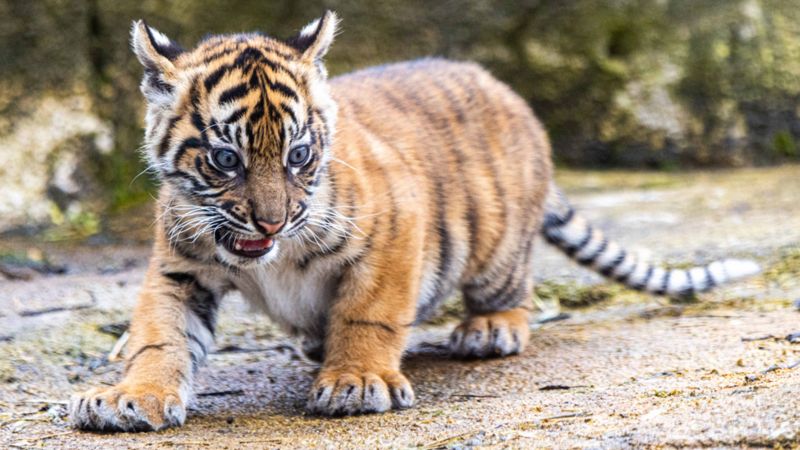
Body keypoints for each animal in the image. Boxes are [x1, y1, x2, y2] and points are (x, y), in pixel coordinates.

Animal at [69, 11, 760, 431]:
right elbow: (160, 337)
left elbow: (367, 313)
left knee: (515, 290)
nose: (271, 221)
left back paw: (489, 330)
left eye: (299, 155)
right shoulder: (179, 270)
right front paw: (130, 397)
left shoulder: (396, 231)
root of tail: (507, 91)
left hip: (497, 248)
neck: (266, 256)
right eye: (224, 159)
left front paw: (355, 381)